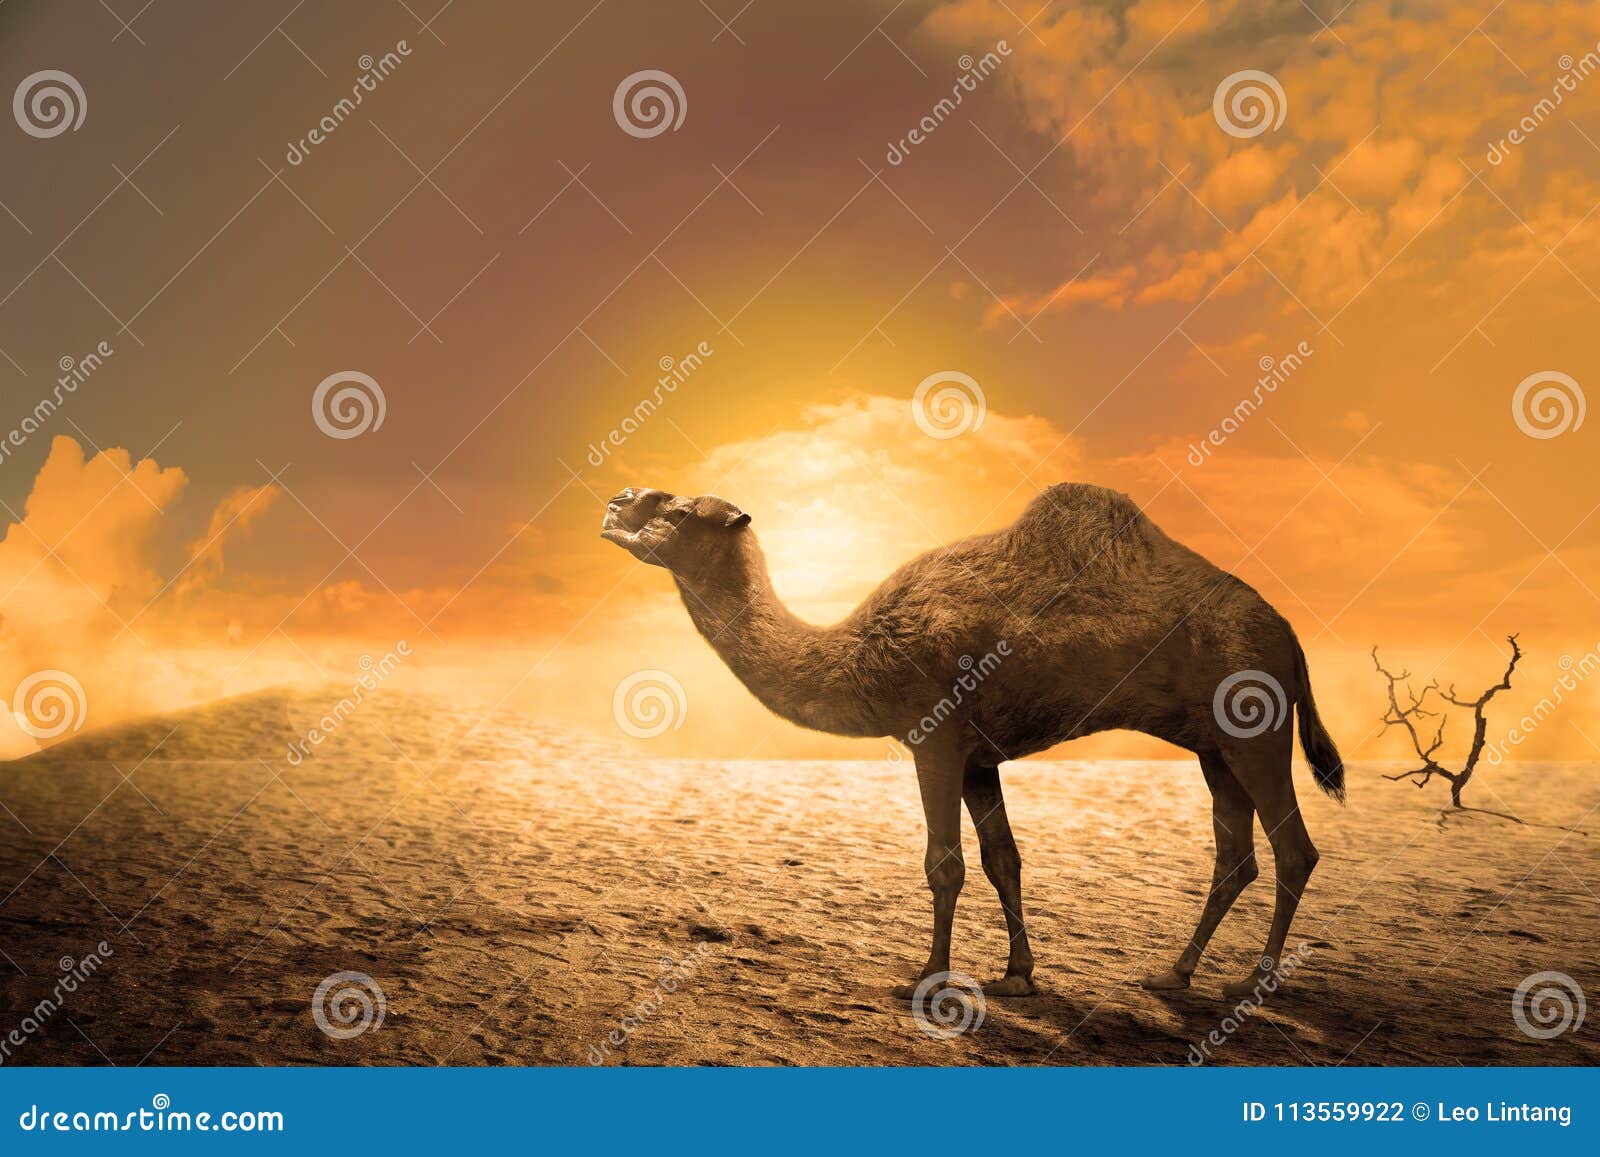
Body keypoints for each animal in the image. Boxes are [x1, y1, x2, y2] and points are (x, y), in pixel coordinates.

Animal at [602, 482, 1343, 1000]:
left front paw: (927, 975)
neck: (863, 652)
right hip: (1213, 744)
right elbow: (1002, 859)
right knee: (1236, 857)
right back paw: (1174, 973)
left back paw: (1252, 981)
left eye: (680, 510)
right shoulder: (981, 756)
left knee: (1295, 850)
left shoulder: (936, 734)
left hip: (1254, 721)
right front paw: (1018, 975)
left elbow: (945, 862)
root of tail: (1291, 637)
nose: (616, 501)